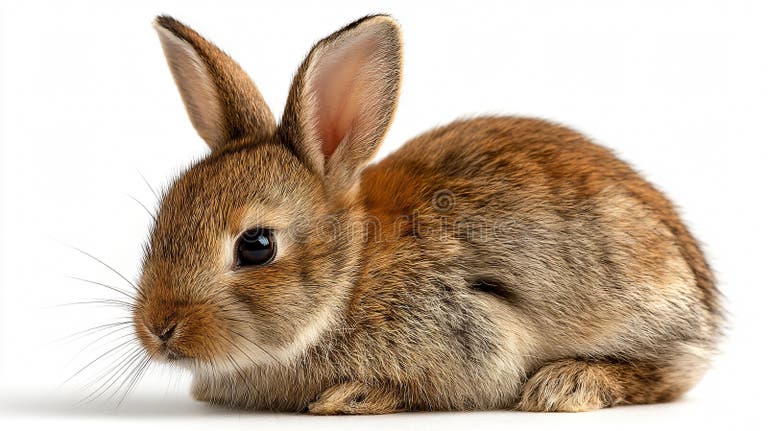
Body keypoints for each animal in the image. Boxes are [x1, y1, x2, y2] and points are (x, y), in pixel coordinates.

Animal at [133, 14, 722, 414]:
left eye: (256, 246)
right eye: (161, 218)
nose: (158, 329)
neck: (353, 276)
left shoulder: (472, 328)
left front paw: (352, 397)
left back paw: (565, 386)